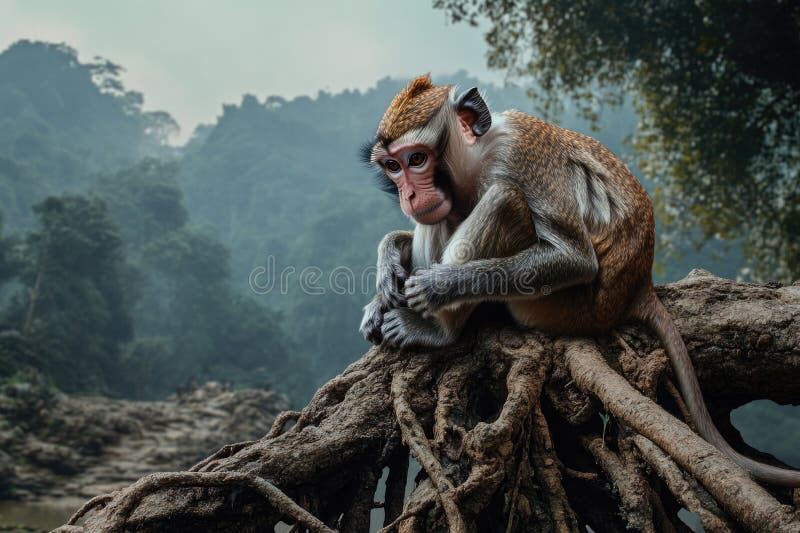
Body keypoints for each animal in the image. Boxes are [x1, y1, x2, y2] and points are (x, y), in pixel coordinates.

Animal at [358, 74, 800, 487]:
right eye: (393, 167)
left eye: (417, 159)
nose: (408, 196)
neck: (479, 158)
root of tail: (638, 283)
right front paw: (387, 270)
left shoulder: (518, 154)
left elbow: (573, 258)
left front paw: (440, 286)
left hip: (564, 307)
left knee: (505, 200)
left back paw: (437, 330)